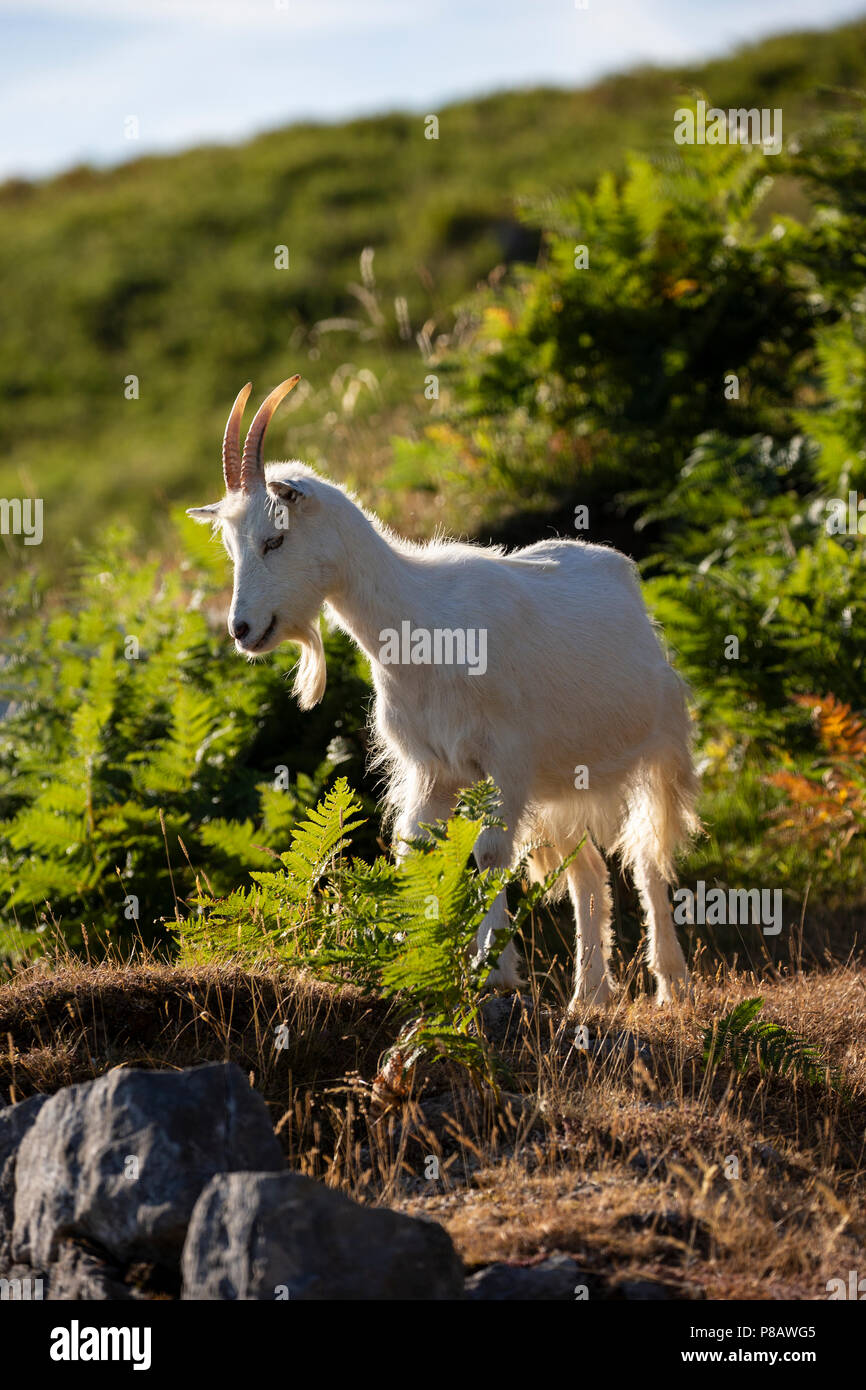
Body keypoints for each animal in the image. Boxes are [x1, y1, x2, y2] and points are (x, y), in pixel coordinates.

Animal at [188, 377, 701, 1007]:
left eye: (275, 539)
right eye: (233, 548)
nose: (242, 629)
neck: (421, 624)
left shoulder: (506, 761)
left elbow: (488, 853)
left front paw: (493, 970)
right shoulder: (434, 769)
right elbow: (417, 848)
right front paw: (425, 957)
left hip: (654, 748)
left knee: (647, 855)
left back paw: (671, 985)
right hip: (564, 784)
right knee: (587, 872)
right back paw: (590, 995)